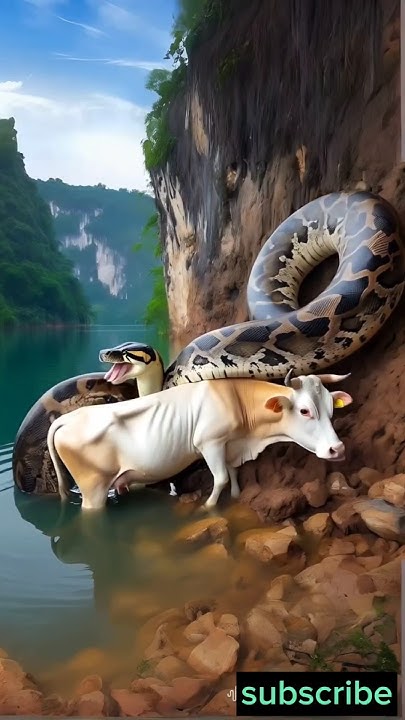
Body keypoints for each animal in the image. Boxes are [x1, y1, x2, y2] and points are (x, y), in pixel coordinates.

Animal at [46, 372, 352, 512]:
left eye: (331, 407)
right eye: (305, 411)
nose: (337, 449)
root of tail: (68, 419)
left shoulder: (230, 444)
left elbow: (233, 472)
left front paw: (237, 496)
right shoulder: (210, 442)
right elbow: (220, 478)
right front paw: (208, 507)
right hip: (93, 487)